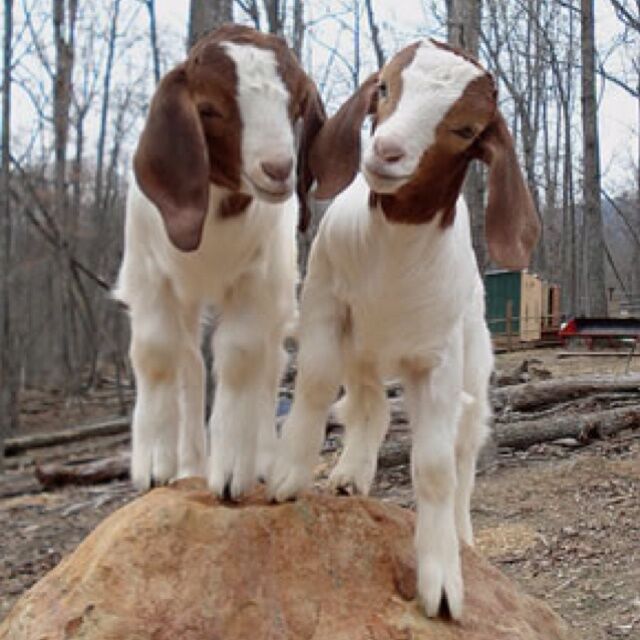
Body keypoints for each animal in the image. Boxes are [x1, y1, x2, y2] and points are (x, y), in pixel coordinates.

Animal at [114, 25, 325, 500]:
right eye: (208, 109)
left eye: (296, 105)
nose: (278, 169)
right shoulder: (148, 272)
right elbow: (156, 351)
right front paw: (154, 466)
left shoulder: (255, 279)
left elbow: (240, 356)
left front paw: (231, 472)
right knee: (190, 362)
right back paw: (189, 464)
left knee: (269, 363)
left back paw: (262, 458)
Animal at [268, 39, 539, 620]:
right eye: (385, 88)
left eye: (466, 128)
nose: (387, 152)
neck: (392, 244)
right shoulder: (324, 303)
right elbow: (315, 386)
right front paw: (288, 476)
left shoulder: (436, 360)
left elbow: (436, 468)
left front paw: (442, 583)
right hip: (362, 351)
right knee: (368, 404)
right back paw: (349, 476)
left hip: (472, 368)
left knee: (463, 454)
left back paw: (462, 537)